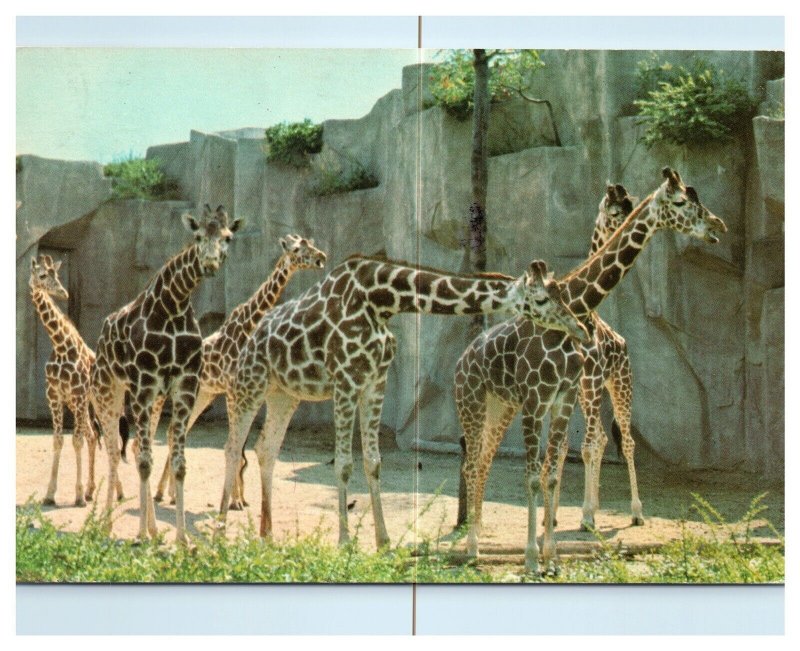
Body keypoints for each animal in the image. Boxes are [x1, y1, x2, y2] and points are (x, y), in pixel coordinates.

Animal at [29, 254, 99, 506]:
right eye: (42, 275)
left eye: (56, 274)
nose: (64, 292)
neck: (60, 345)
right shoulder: (55, 396)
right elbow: (58, 440)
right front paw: (50, 494)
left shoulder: (77, 395)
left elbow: (76, 441)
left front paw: (77, 496)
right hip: (81, 404)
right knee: (93, 434)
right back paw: (91, 490)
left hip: (96, 401)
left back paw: (114, 492)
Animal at [91, 204, 242, 544]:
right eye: (197, 235)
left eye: (227, 237)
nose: (210, 263)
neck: (174, 305)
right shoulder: (144, 383)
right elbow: (145, 462)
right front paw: (141, 537)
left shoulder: (185, 384)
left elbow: (179, 463)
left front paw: (182, 539)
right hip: (109, 390)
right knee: (114, 451)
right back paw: (107, 525)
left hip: (150, 397)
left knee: (133, 448)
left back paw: (152, 528)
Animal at [153, 234, 327, 506]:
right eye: (298, 249)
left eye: (309, 243)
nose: (321, 257)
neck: (248, 325)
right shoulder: (233, 391)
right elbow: (234, 442)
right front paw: (234, 499)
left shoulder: (241, 392)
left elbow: (240, 442)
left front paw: (240, 498)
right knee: (171, 432)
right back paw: (164, 492)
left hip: (204, 395)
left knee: (175, 432)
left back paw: (168, 493)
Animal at [217, 256, 591, 548]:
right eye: (541, 299)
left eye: (561, 293)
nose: (581, 330)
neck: (381, 300)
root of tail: (250, 337)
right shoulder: (346, 380)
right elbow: (344, 464)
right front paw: (344, 542)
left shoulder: (375, 381)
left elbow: (373, 462)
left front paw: (383, 541)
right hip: (249, 384)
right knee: (233, 447)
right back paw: (220, 530)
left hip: (285, 394)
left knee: (265, 449)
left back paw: (267, 537)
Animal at [454, 167, 727, 573]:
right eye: (681, 201)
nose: (716, 225)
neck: (580, 307)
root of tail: (462, 360)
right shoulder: (543, 397)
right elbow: (540, 471)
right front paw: (535, 555)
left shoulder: (568, 393)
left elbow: (558, 466)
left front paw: (552, 552)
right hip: (479, 403)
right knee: (473, 464)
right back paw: (473, 546)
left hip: (529, 402)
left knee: (492, 459)